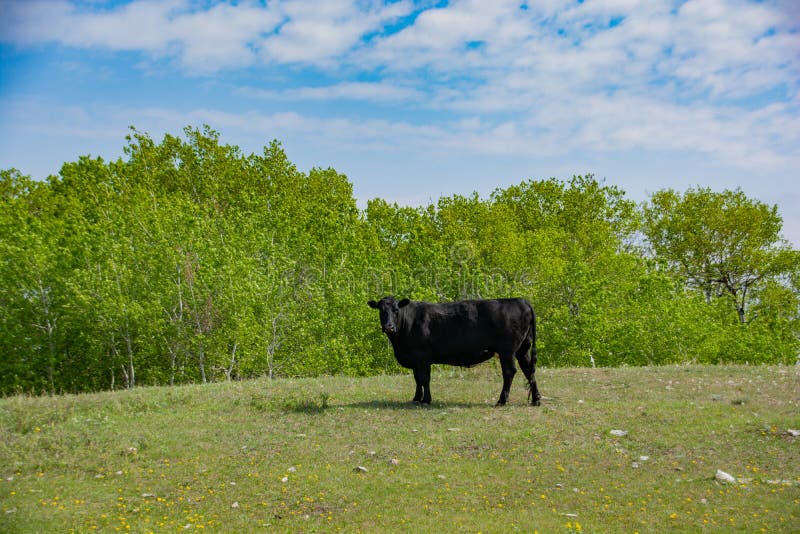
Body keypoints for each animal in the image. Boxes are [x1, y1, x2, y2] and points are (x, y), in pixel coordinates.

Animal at [367, 296, 541, 406]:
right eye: (381, 311)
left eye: (396, 310)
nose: (389, 327)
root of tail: (520, 300)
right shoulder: (416, 360)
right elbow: (417, 379)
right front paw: (416, 398)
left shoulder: (422, 356)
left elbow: (424, 379)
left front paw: (426, 400)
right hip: (523, 349)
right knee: (529, 370)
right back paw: (536, 400)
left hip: (507, 350)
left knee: (510, 372)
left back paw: (501, 401)